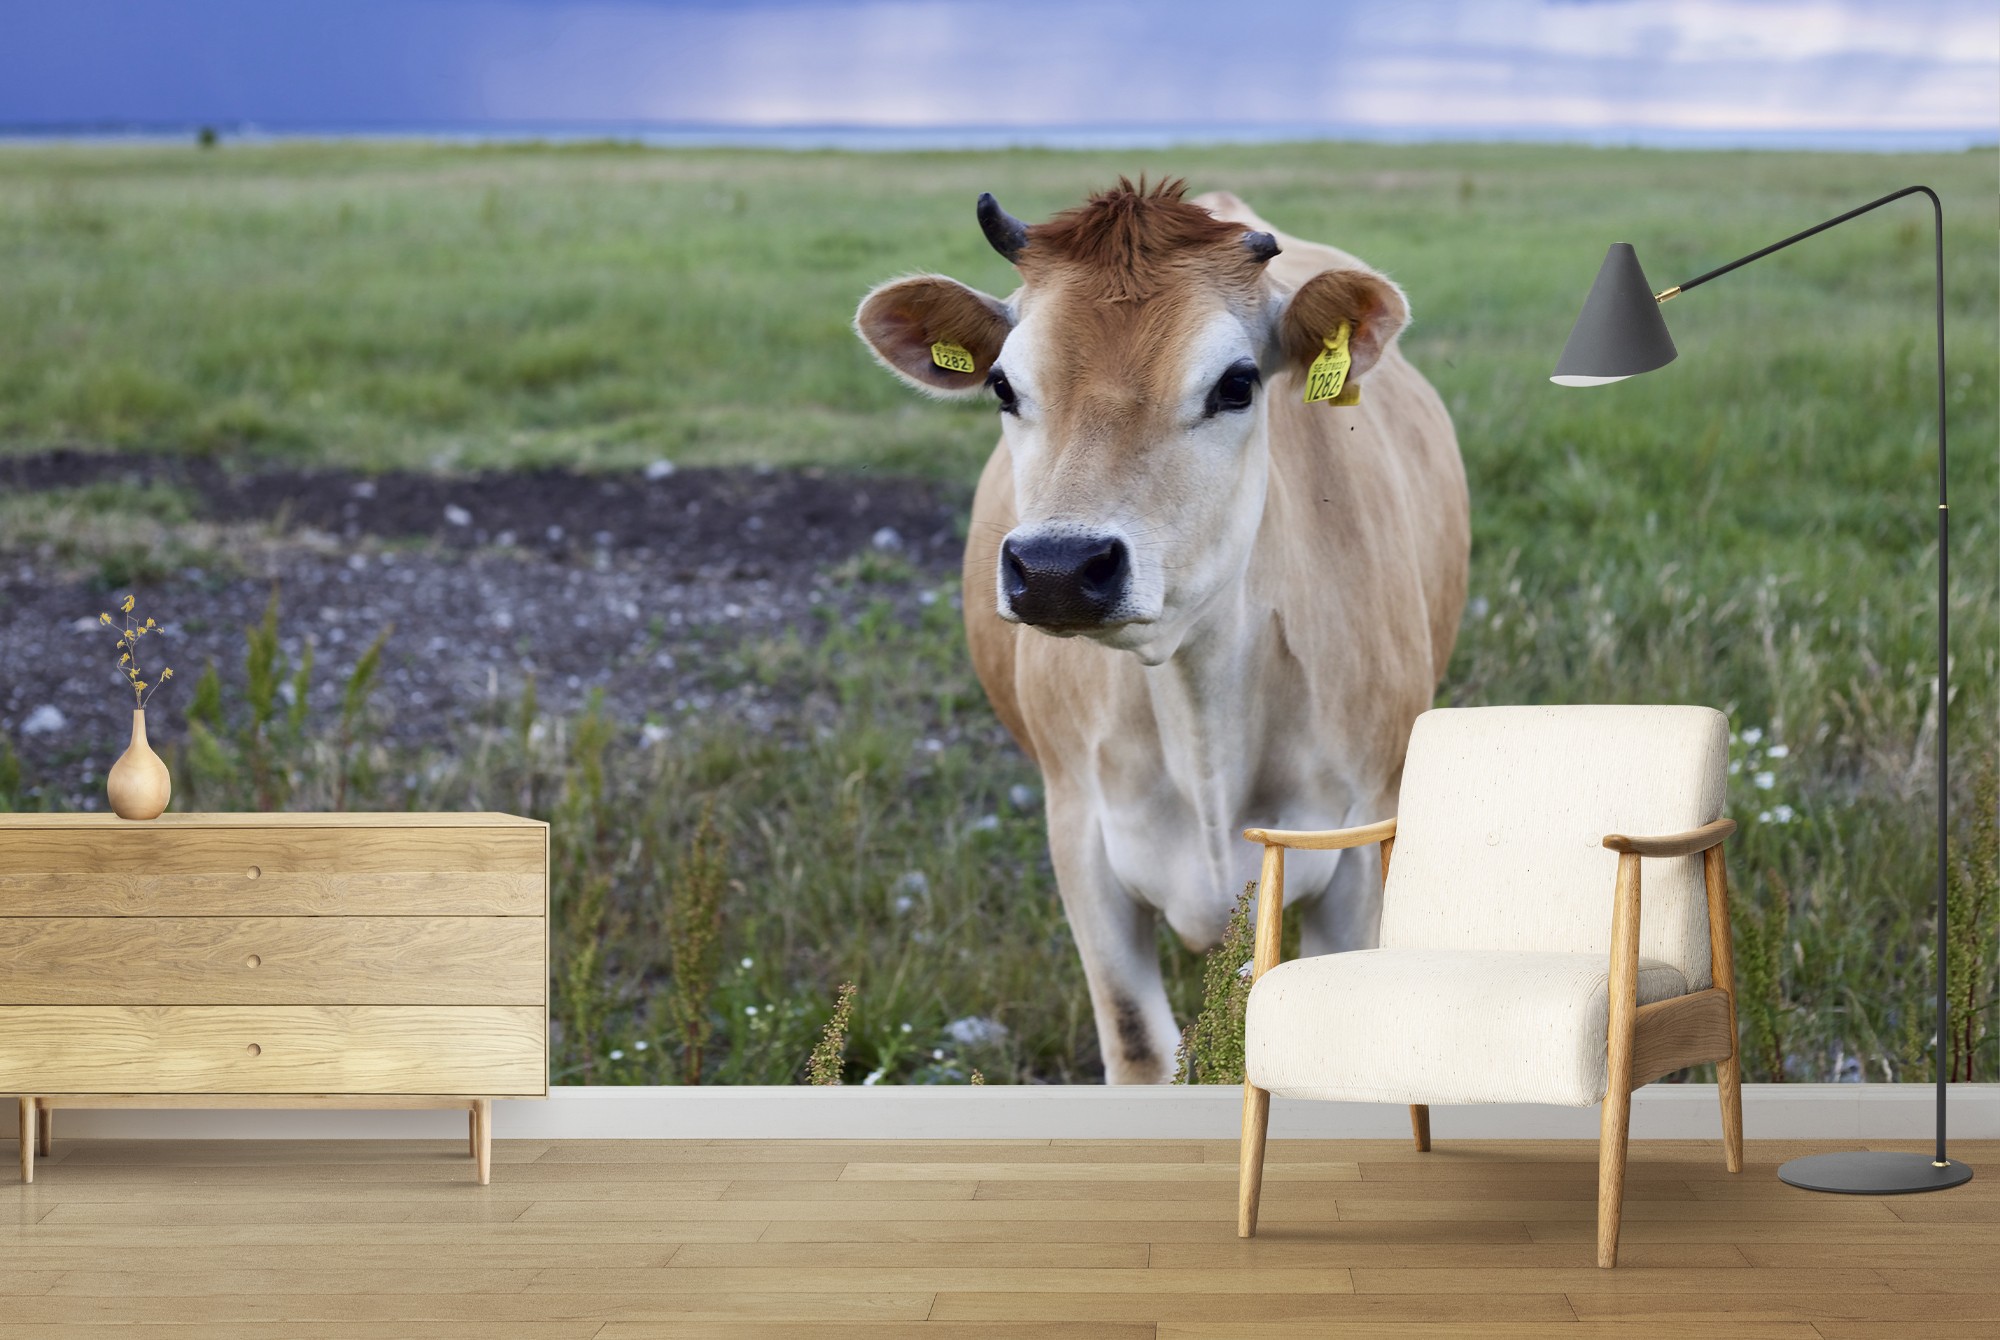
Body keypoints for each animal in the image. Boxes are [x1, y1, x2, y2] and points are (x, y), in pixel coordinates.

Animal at [855, 179, 1469, 1082]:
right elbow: (1140, 1045)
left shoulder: (1360, 849)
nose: (1058, 567)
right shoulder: (1081, 838)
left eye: (1238, 384)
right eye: (1002, 386)